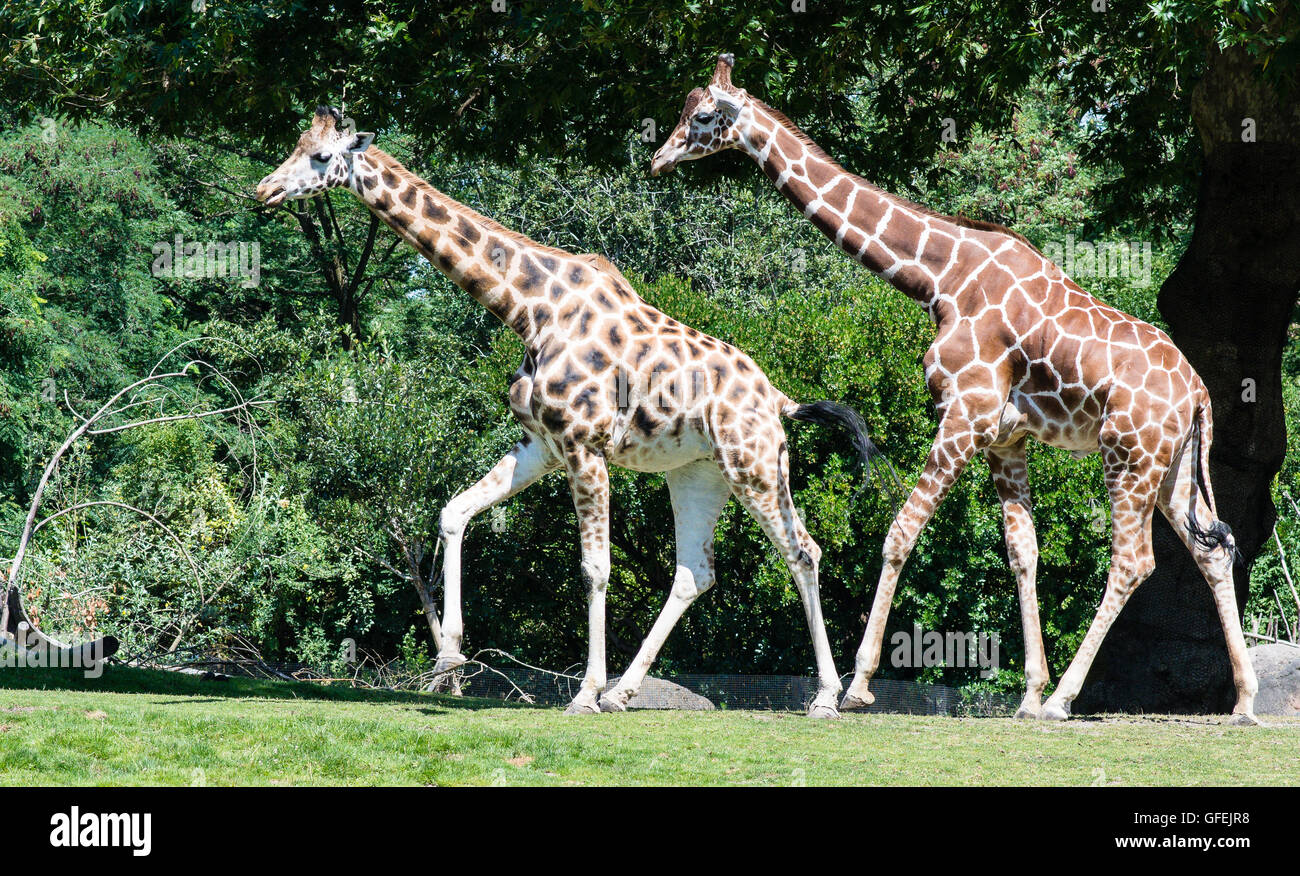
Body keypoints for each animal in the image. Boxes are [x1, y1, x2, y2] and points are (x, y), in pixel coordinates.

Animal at [256, 106, 893, 717]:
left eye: (319, 156)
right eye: (293, 145)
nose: (264, 190)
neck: (529, 308)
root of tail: (778, 398)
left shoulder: (586, 448)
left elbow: (595, 568)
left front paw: (583, 692)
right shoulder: (543, 444)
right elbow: (454, 512)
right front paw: (450, 659)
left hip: (754, 463)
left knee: (801, 551)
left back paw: (826, 698)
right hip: (699, 473)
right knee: (695, 572)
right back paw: (624, 692)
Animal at [653, 55, 1259, 725]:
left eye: (703, 117)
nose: (657, 160)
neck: (940, 277)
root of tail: (1199, 392)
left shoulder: (965, 414)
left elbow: (900, 530)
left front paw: (858, 685)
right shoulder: (1004, 437)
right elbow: (1023, 551)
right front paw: (1028, 692)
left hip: (1129, 453)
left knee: (1133, 561)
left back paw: (1067, 701)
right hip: (1173, 465)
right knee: (1212, 550)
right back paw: (1243, 701)